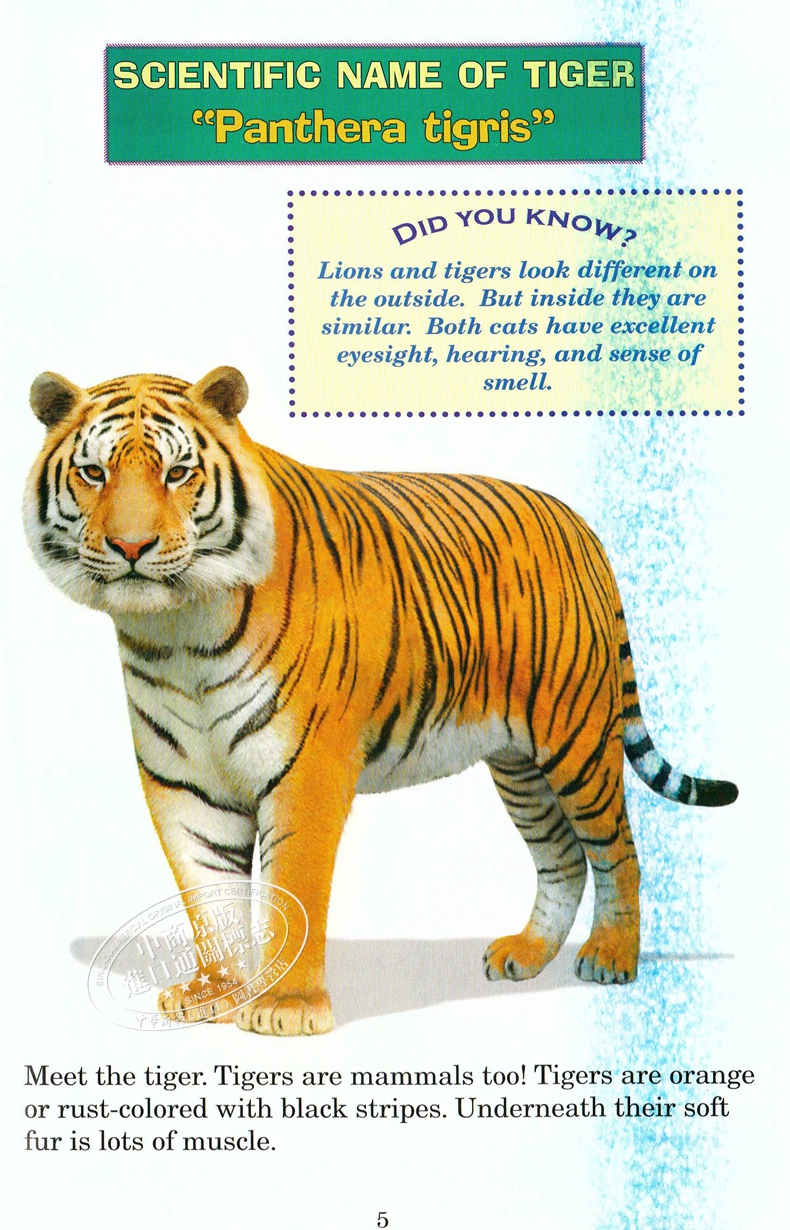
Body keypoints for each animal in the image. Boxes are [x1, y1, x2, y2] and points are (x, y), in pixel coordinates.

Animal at [24, 365, 738, 1035]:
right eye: (92, 472)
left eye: (177, 473)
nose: (132, 547)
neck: (177, 632)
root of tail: (579, 524)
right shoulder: (182, 782)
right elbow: (208, 896)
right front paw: (215, 995)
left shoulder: (306, 772)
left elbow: (294, 887)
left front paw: (285, 1008)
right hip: (517, 763)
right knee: (562, 856)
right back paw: (527, 954)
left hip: (577, 740)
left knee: (618, 850)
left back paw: (612, 956)